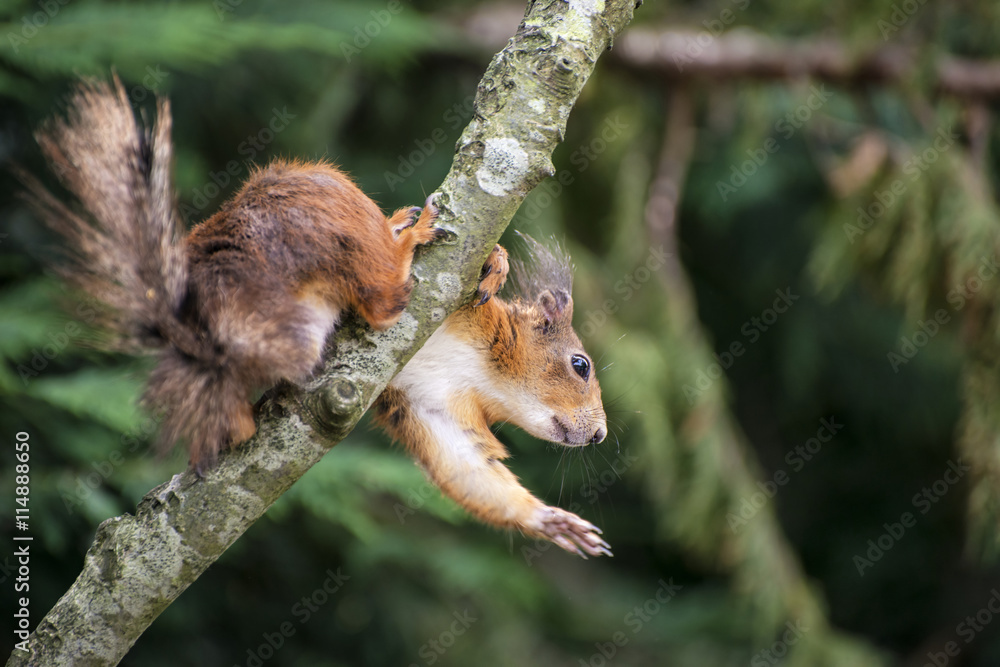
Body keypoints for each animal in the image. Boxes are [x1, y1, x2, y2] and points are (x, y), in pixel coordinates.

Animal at [28, 77, 612, 558]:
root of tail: (198, 319)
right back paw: (408, 239)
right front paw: (492, 262)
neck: (486, 369)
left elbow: (465, 467)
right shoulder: (459, 323)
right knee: (381, 295)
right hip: (322, 198)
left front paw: (550, 521)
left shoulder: (429, 403)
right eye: (580, 365)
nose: (602, 436)